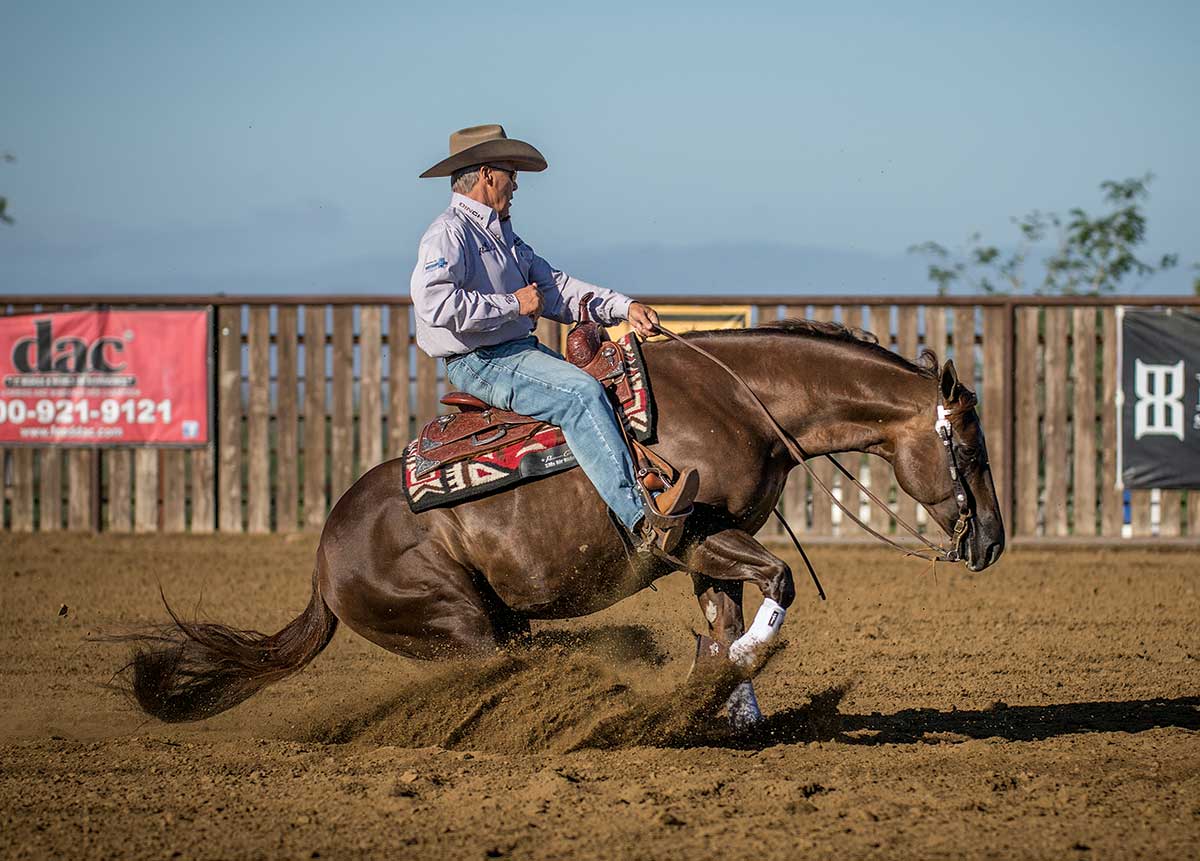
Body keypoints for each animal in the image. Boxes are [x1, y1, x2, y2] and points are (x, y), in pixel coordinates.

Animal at [122, 319, 1005, 727]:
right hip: (454, 621)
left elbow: (724, 619)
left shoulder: (705, 553)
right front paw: (730, 672)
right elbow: (777, 583)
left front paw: (726, 703)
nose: (994, 541)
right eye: (967, 445)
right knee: (507, 663)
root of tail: (323, 562)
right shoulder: (693, 535)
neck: (740, 402)